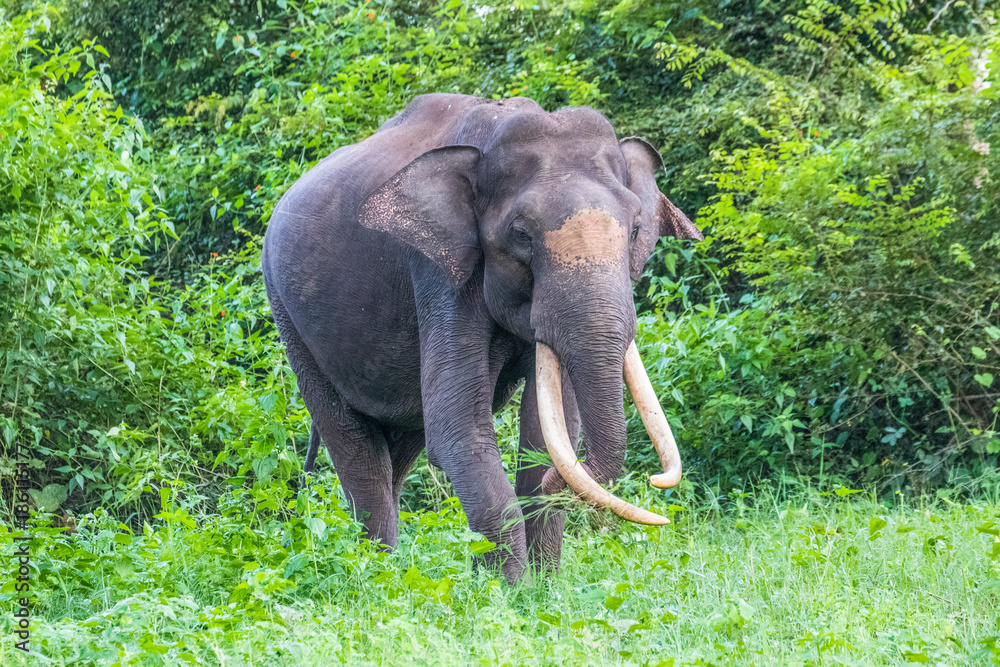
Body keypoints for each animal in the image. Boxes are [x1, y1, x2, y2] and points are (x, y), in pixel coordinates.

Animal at [261, 93, 703, 581]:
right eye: (521, 235)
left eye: (637, 229)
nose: (655, 483)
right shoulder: (439, 274)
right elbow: (459, 429)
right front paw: (505, 591)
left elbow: (549, 431)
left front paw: (544, 586)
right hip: (289, 317)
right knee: (357, 447)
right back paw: (379, 577)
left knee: (402, 443)